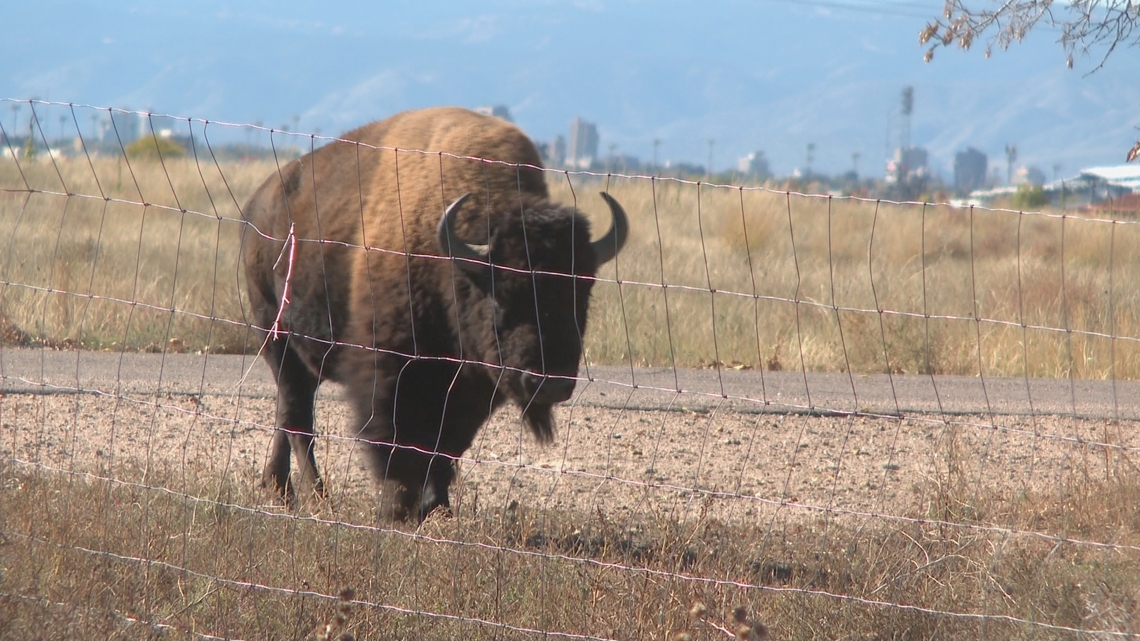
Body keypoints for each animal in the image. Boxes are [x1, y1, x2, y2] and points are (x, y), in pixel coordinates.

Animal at [240, 107, 628, 520]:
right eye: (502, 295)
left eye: (581, 293)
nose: (549, 382)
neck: (454, 267)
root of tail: (259, 203)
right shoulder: (390, 371)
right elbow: (396, 438)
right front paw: (396, 507)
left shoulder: (472, 388)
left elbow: (447, 446)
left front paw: (437, 506)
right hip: (275, 337)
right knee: (297, 417)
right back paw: (313, 494)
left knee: (288, 414)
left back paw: (280, 487)